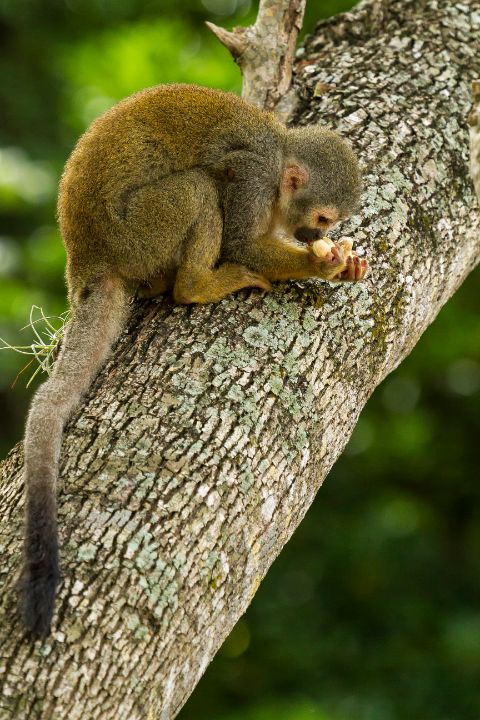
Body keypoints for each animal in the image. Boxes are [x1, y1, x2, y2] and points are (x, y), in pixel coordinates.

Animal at [18, 83, 366, 637]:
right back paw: (196, 285)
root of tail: (86, 261)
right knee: (201, 187)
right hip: (138, 232)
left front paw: (342, 262)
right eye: (323, 220)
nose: (315, 239)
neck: (279, 152)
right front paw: (324, 266)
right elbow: (242, 239)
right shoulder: (252, 175)